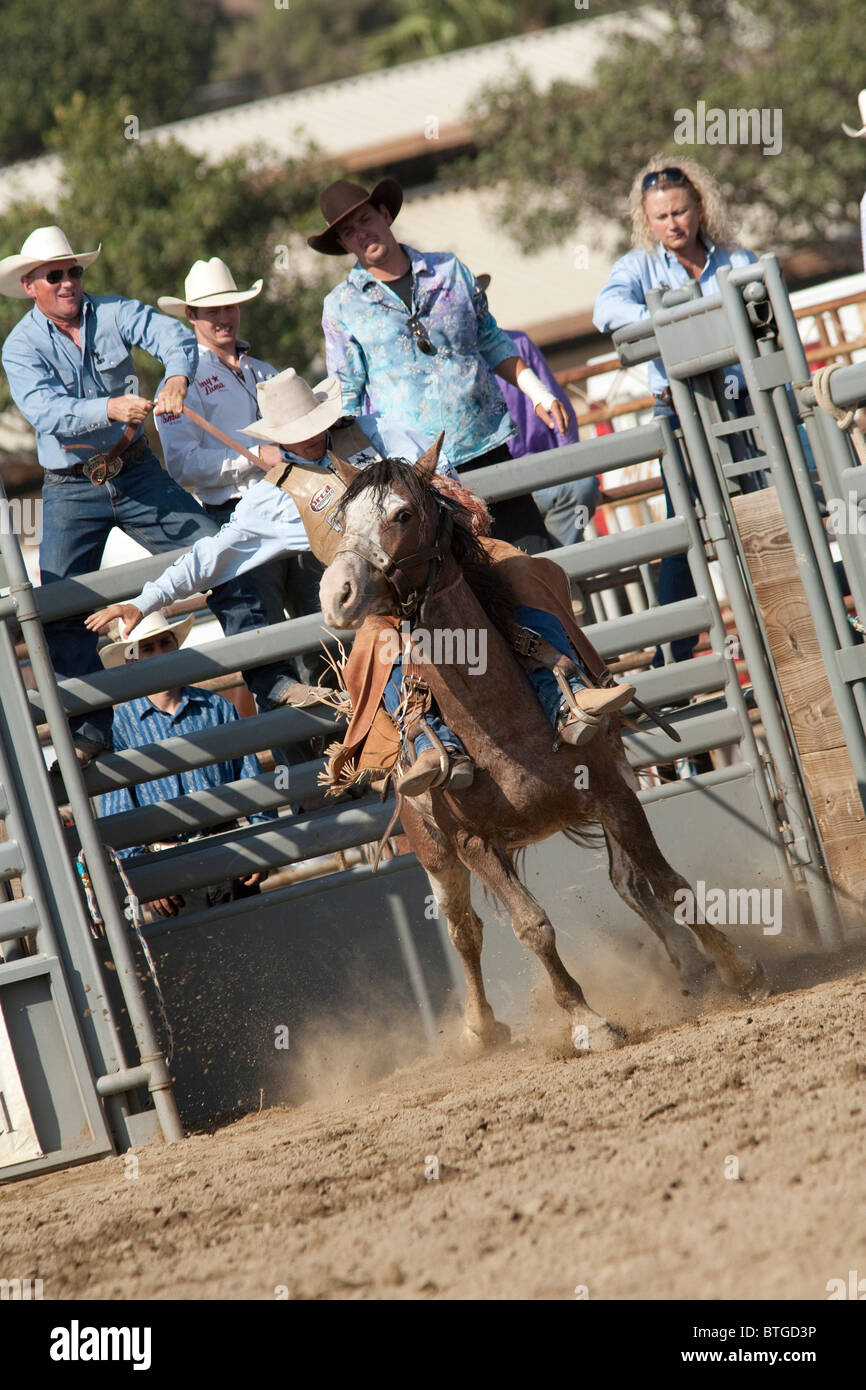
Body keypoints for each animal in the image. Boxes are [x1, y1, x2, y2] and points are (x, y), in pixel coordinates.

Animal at [318, 448, 768, 1052]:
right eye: (341, 522)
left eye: (403, 513)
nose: (335, 594)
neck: (500, 723)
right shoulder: (471, 842)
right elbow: (531, 926)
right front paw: (587, 1020)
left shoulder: (612, 790)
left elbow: (665, 880)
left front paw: (735, 967)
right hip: (433, 849)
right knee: (463, 930)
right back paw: (480, 1027)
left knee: (628, 882)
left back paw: (688, 966)